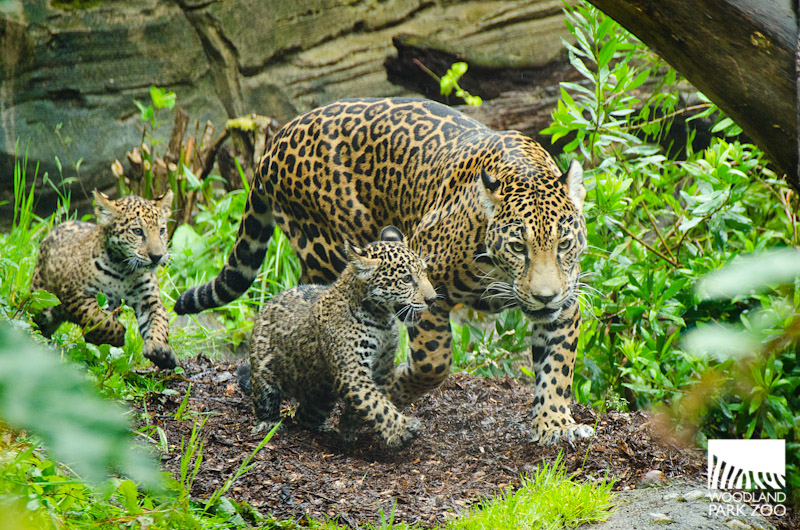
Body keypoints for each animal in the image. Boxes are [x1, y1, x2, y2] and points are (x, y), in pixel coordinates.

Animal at [31, 190, 178, 369]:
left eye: (162, 231)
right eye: (137, 231)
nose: (157, 256)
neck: (124, 271)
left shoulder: (149, 301)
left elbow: (158, 323)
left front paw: (160, 350)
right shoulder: (76, 295)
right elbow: (100, 319)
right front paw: (119, 336)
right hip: (41, 302)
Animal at [239, 225, 436, 449]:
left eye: (424, 272)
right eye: (406, 279)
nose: (432, 299)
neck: (382, 321)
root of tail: (267, 306)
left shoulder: (382, 369)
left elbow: (371, 401)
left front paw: (348, 427)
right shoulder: (352, 371)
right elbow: (376, 403)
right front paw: (402, 429)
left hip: (321, 395)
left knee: (304, 415)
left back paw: (324, 429)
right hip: (264, 370)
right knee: (266, 399)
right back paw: (269, 424)